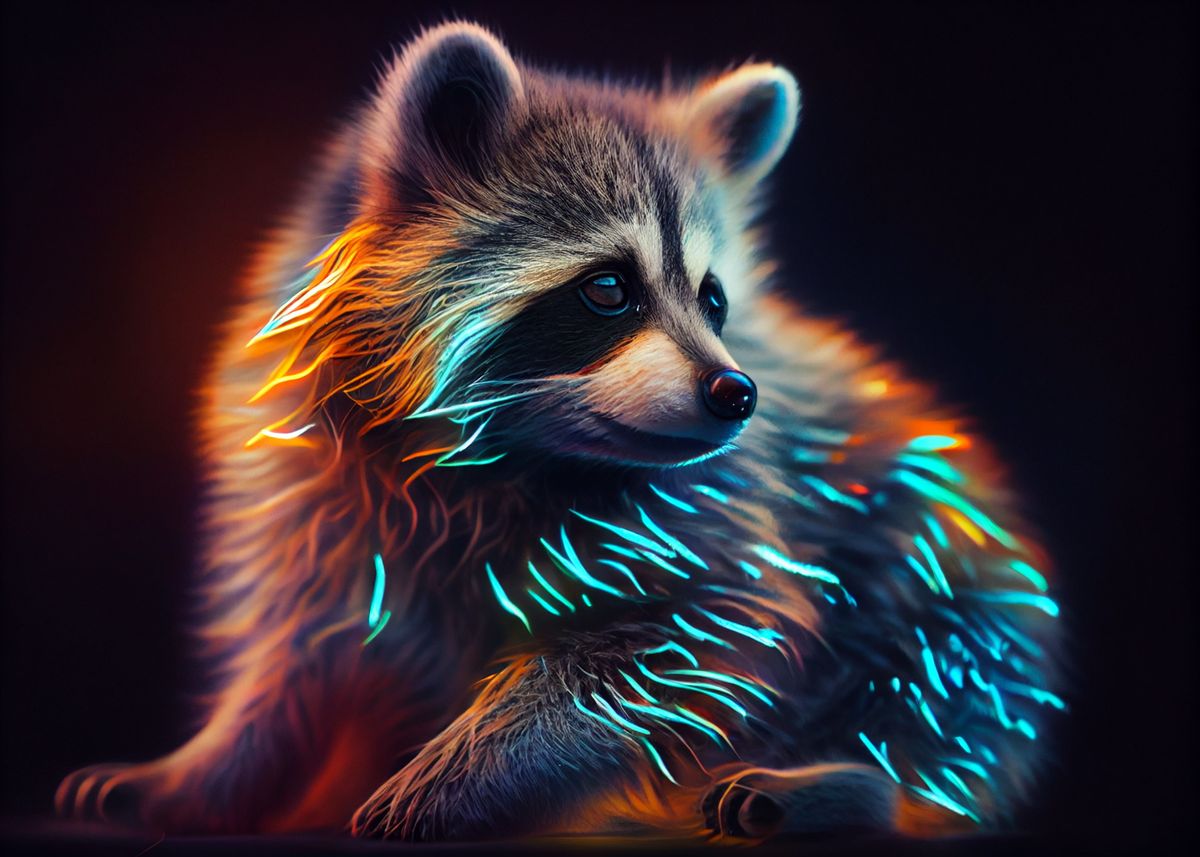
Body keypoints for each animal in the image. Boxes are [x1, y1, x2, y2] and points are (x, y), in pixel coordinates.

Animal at [57, 21, 1064, 842]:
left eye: (713, 298)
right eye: (609, 288)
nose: (735, 393)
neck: (507, 445)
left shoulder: (721, 513)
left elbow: (690, 634)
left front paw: (461, 769)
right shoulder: (323, 492)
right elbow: (300, 654)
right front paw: (204, 769)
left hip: (959, 594)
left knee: (925, 695)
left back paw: (846, 784)